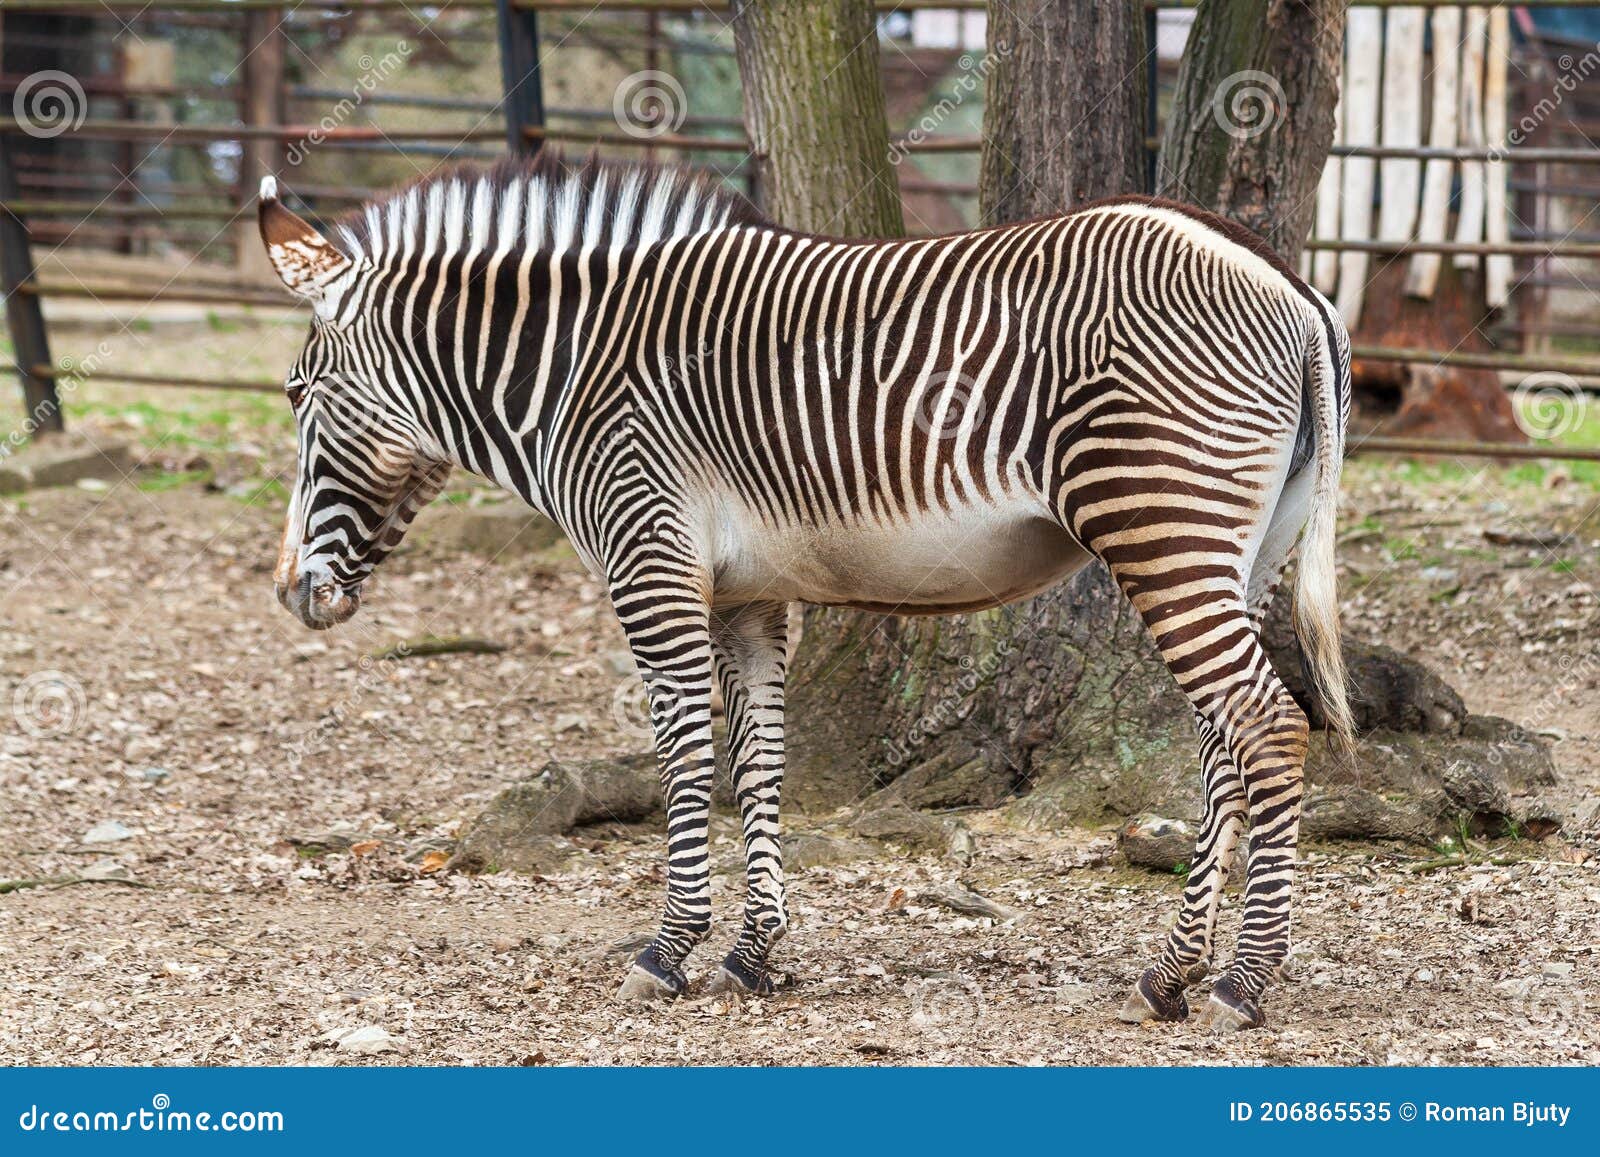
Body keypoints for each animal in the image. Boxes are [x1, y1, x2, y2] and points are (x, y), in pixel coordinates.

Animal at [258, 151, 1352, 1032]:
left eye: (297, 396)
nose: (290, 594)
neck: (574, 374)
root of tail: (1288, 281)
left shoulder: (650, 559)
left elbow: (688, 754)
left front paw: (669, 949)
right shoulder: (748, 596)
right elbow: (760, 759)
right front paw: (753, 952)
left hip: (1160, 521)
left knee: (1267, 722)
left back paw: (1243, 981)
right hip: (1240, 545)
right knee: (1222, 736)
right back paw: (1173, 970)